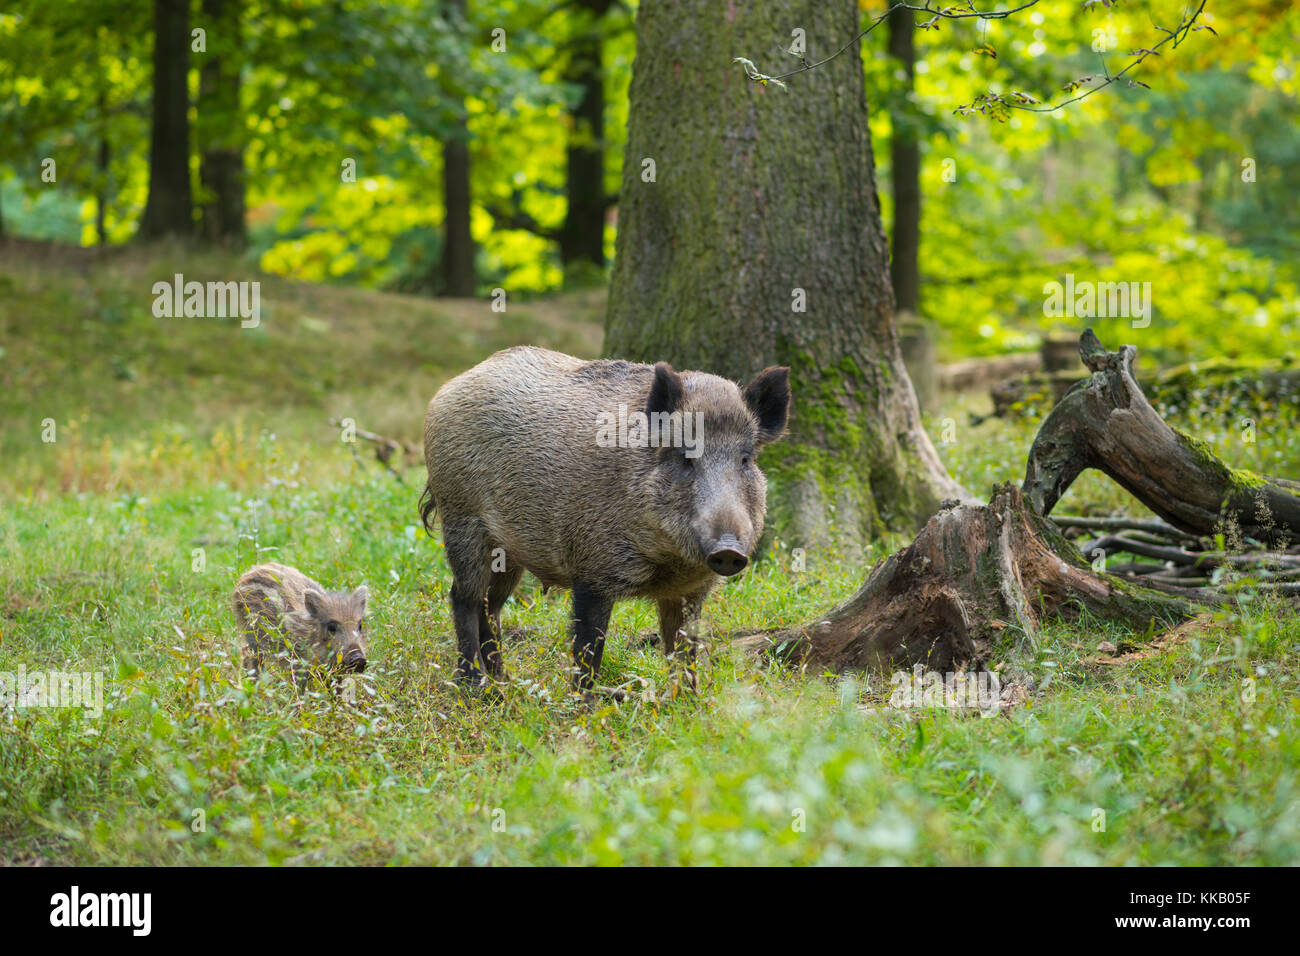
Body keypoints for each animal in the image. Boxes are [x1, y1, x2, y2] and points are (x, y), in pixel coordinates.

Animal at [419, 346, 790, 695]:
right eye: (685, 457)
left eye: (746, 458)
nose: (729, 550)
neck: (670, 561)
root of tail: (451, 386)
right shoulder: (592, 571)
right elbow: (589, 650)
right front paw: (586, 709)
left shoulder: (690, 590)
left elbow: (683, 651)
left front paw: (688, 703)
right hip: (461, 518)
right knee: (464, 598)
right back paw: (474, 687)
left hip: (508, 550)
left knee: (491, 606)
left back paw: (505, 684)